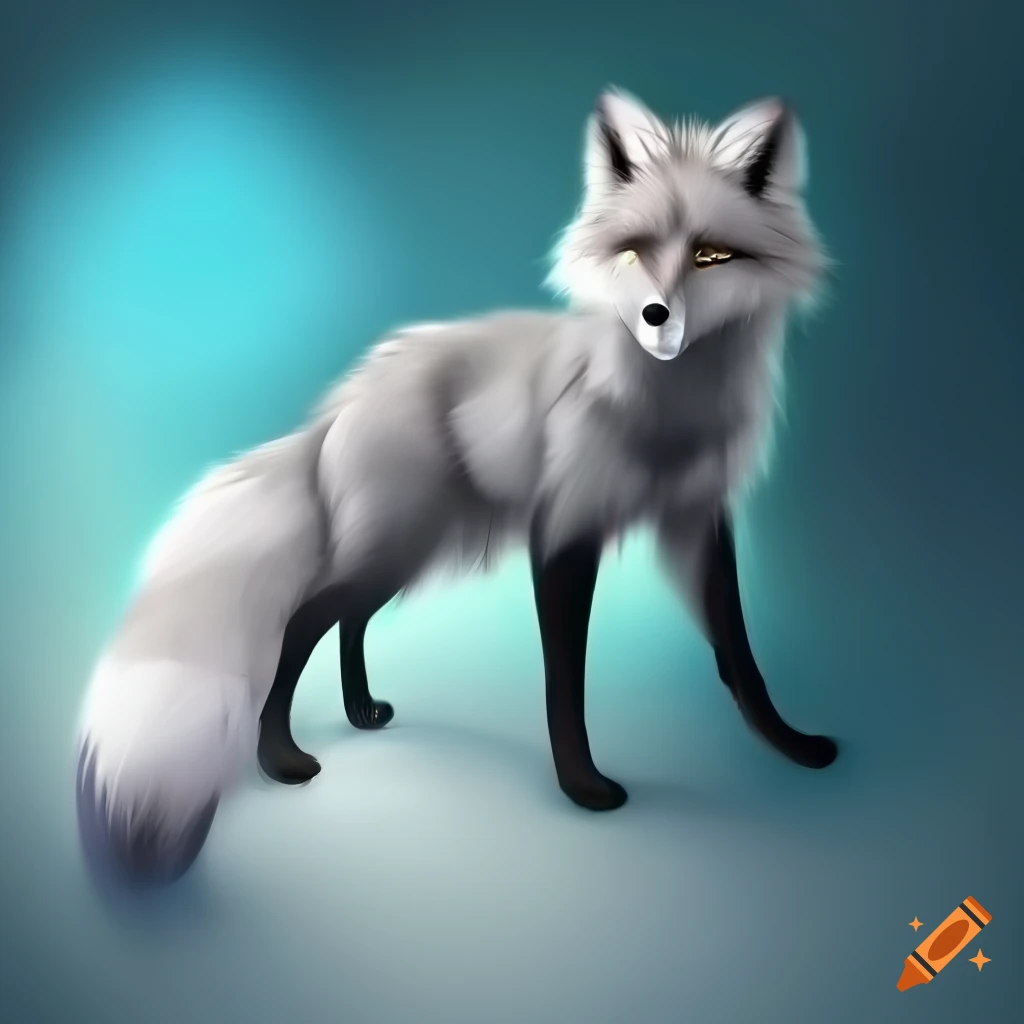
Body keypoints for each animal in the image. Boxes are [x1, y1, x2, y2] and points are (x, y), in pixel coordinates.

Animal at [76, 87, 836, 888]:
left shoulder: (698, 519)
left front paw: (792, 746)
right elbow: (565, 681)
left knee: (350, 619)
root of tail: (345, 400)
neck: (665, 416)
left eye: (710, 255)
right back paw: (280, 758)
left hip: (405, 549)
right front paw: (582, 787)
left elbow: (740, 655)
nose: (655, 315)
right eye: (632, 252)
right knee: (303, 618)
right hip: (393, 544)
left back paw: (360, 712)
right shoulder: (564, 530)